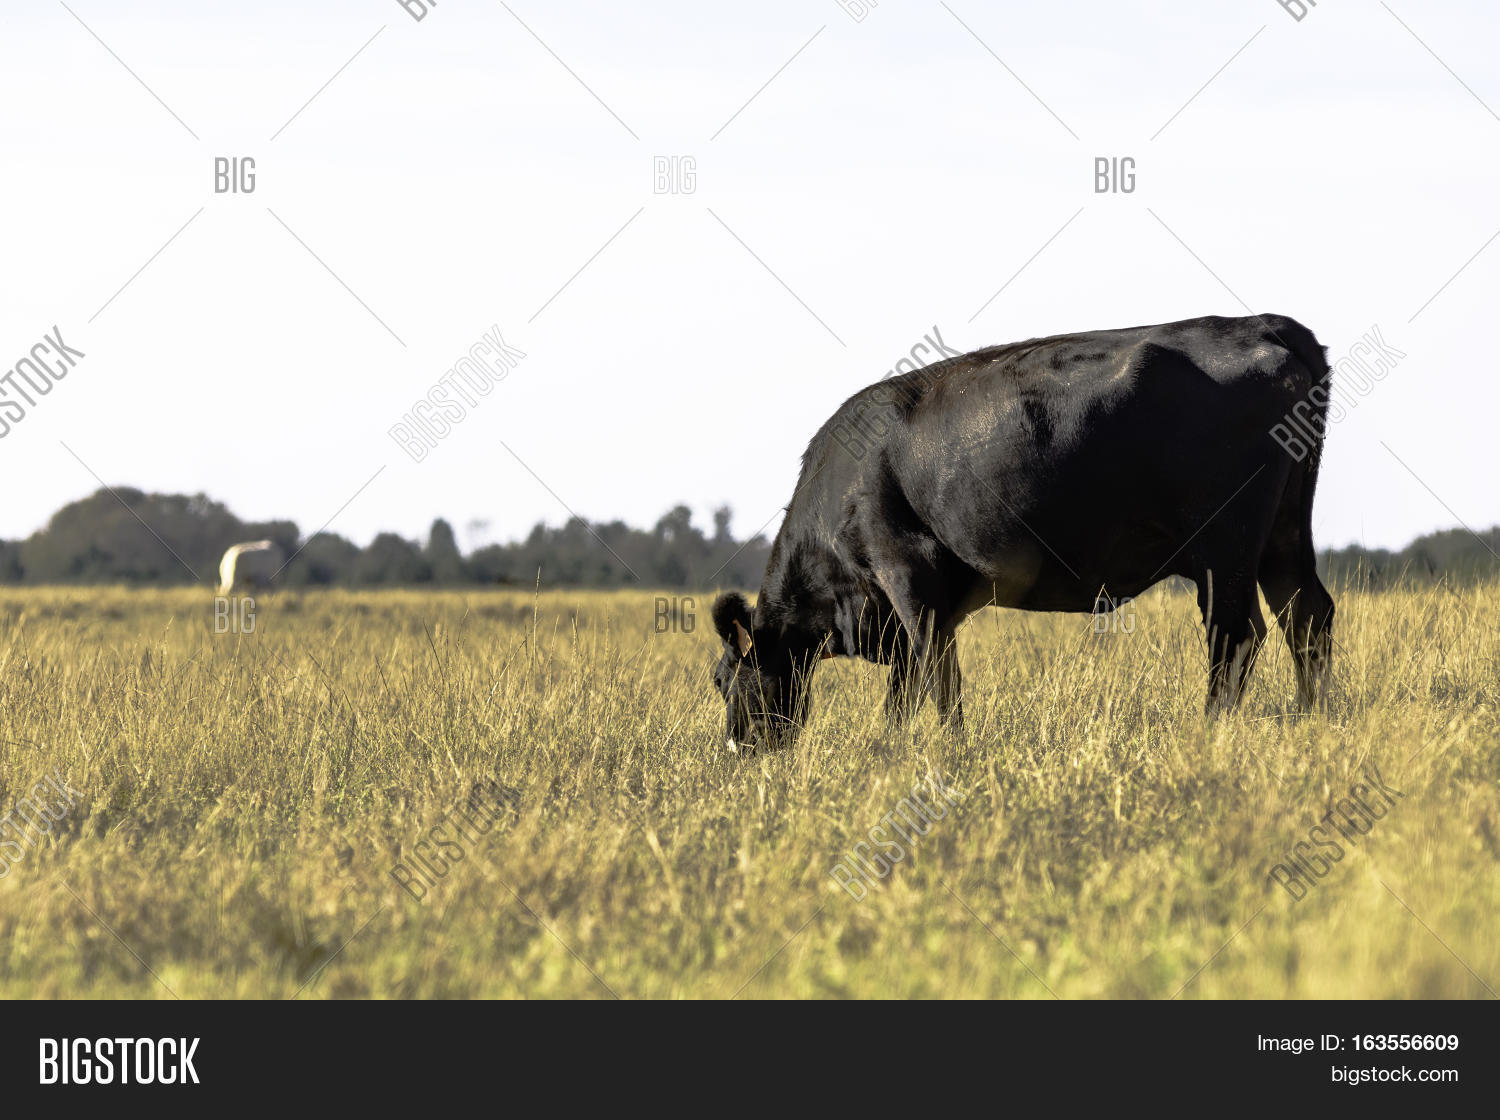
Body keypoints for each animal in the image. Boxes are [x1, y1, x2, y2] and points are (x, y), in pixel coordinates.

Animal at [711, 314, 1335, 754]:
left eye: (722, 682)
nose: (738, 751)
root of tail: (1260, 323)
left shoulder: (906, 570)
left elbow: (937, 675)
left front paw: (949, 748)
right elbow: (907, 686)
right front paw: (892, 745)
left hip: (1223, 548)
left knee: (1237, 635)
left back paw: (1211, 729)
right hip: (1282, 538)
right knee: (1306, 615)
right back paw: (1314, 721)